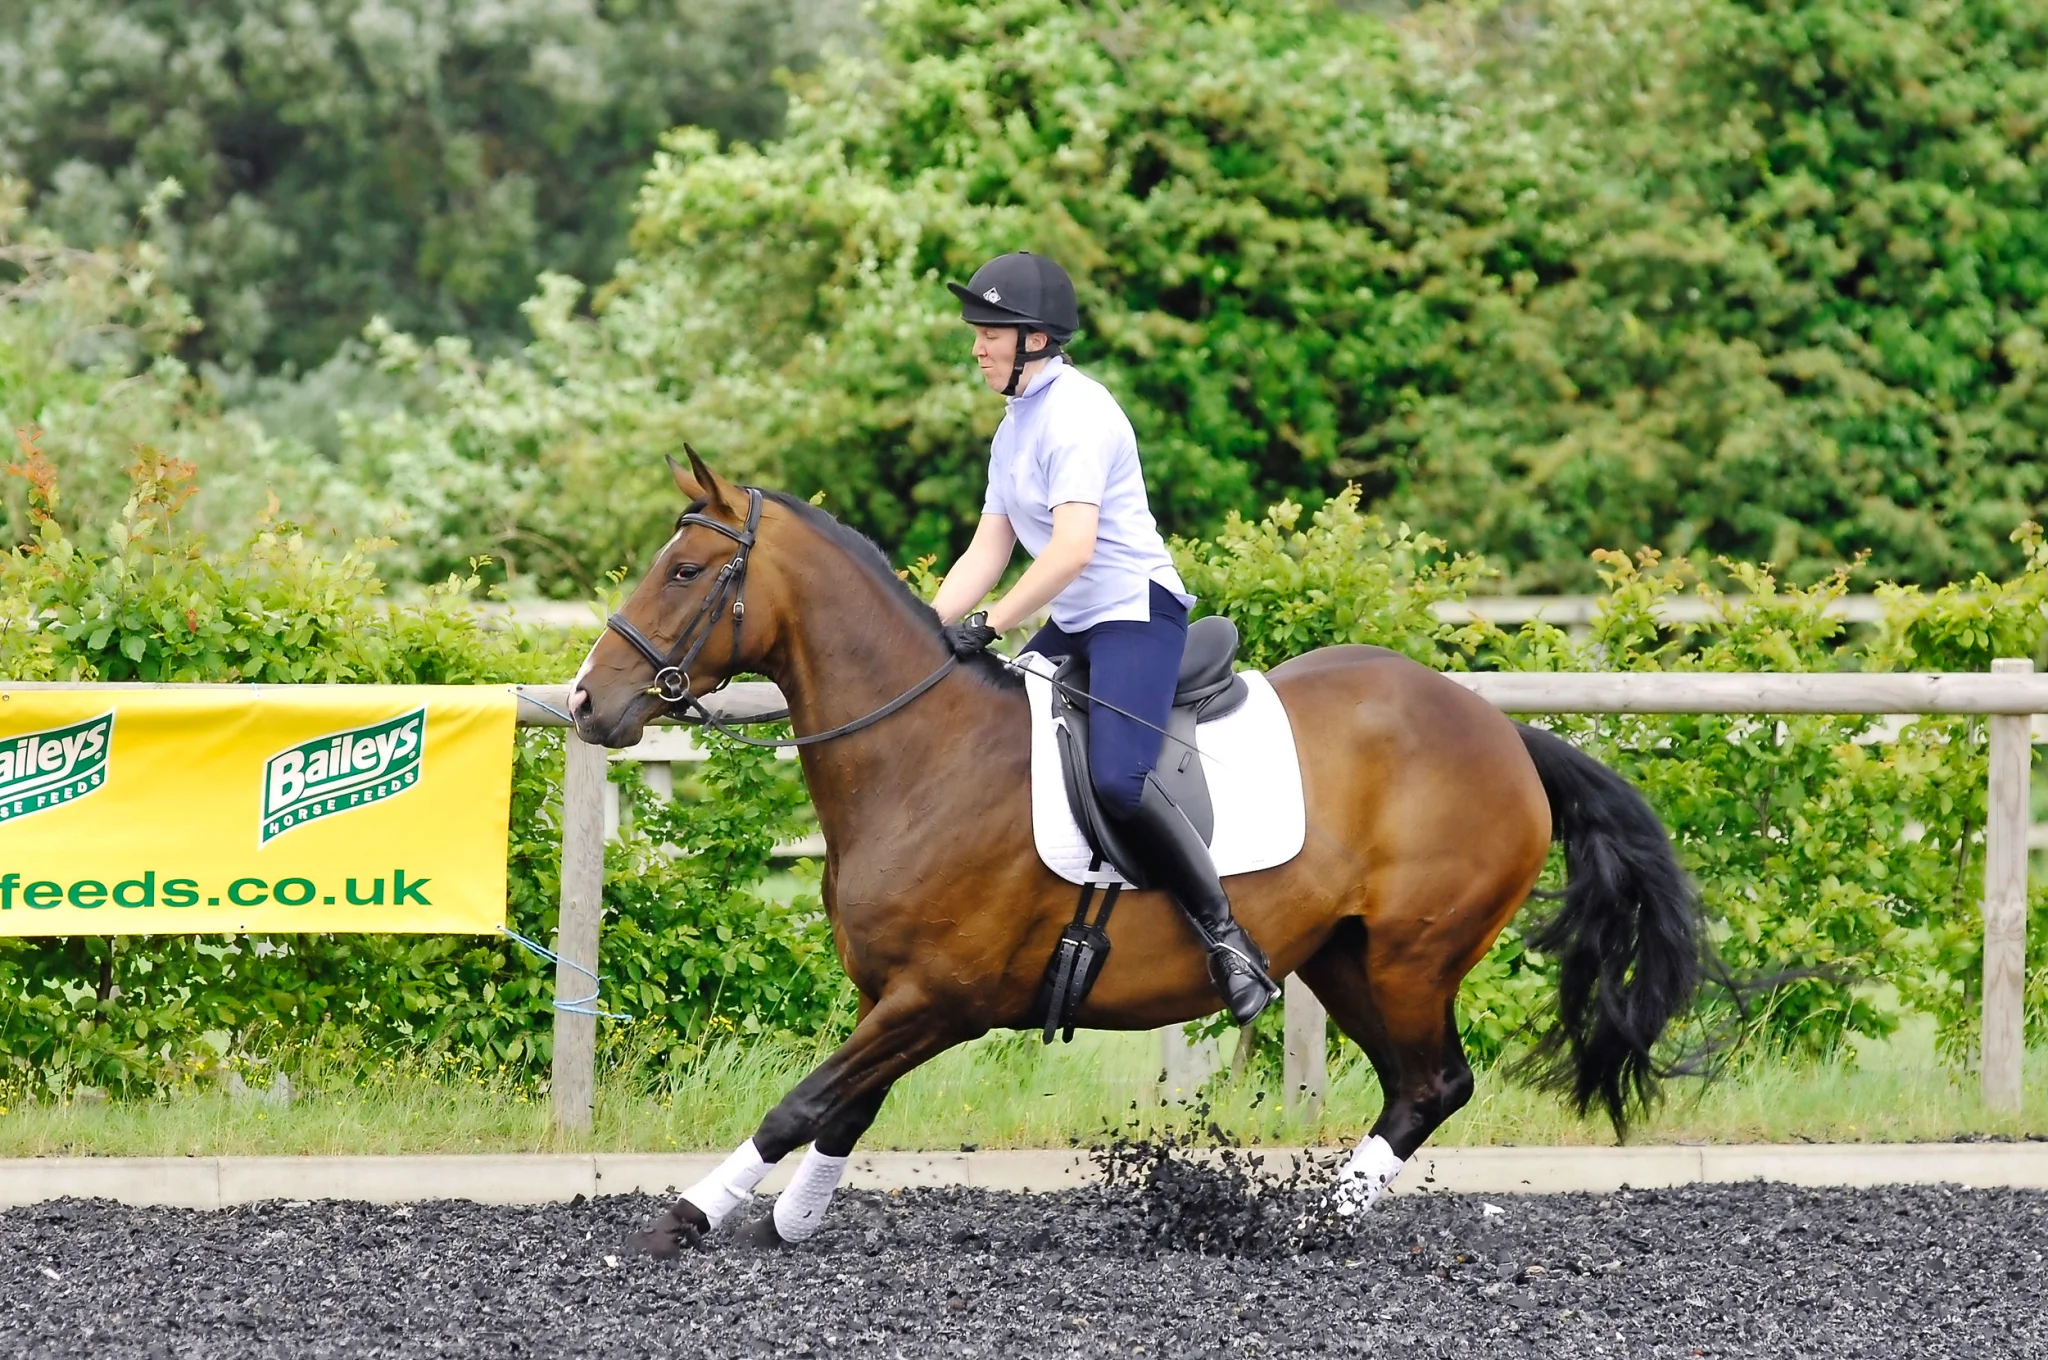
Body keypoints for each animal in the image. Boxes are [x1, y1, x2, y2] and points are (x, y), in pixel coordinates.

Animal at [569, 449, 1703, 1255]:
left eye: (683, 570)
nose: (587, 703)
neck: (922, 755)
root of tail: (1502, 731)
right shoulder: (893, 996)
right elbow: (847, 1105)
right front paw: (791, 1218)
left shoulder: (941, 997)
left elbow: (804, 1100)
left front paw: (690, 1212)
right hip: (1345, 956)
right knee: (1415, 1086)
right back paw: (1316, 1217)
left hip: (1411, 955)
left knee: (1437, 1085)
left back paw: (1310, 1228)